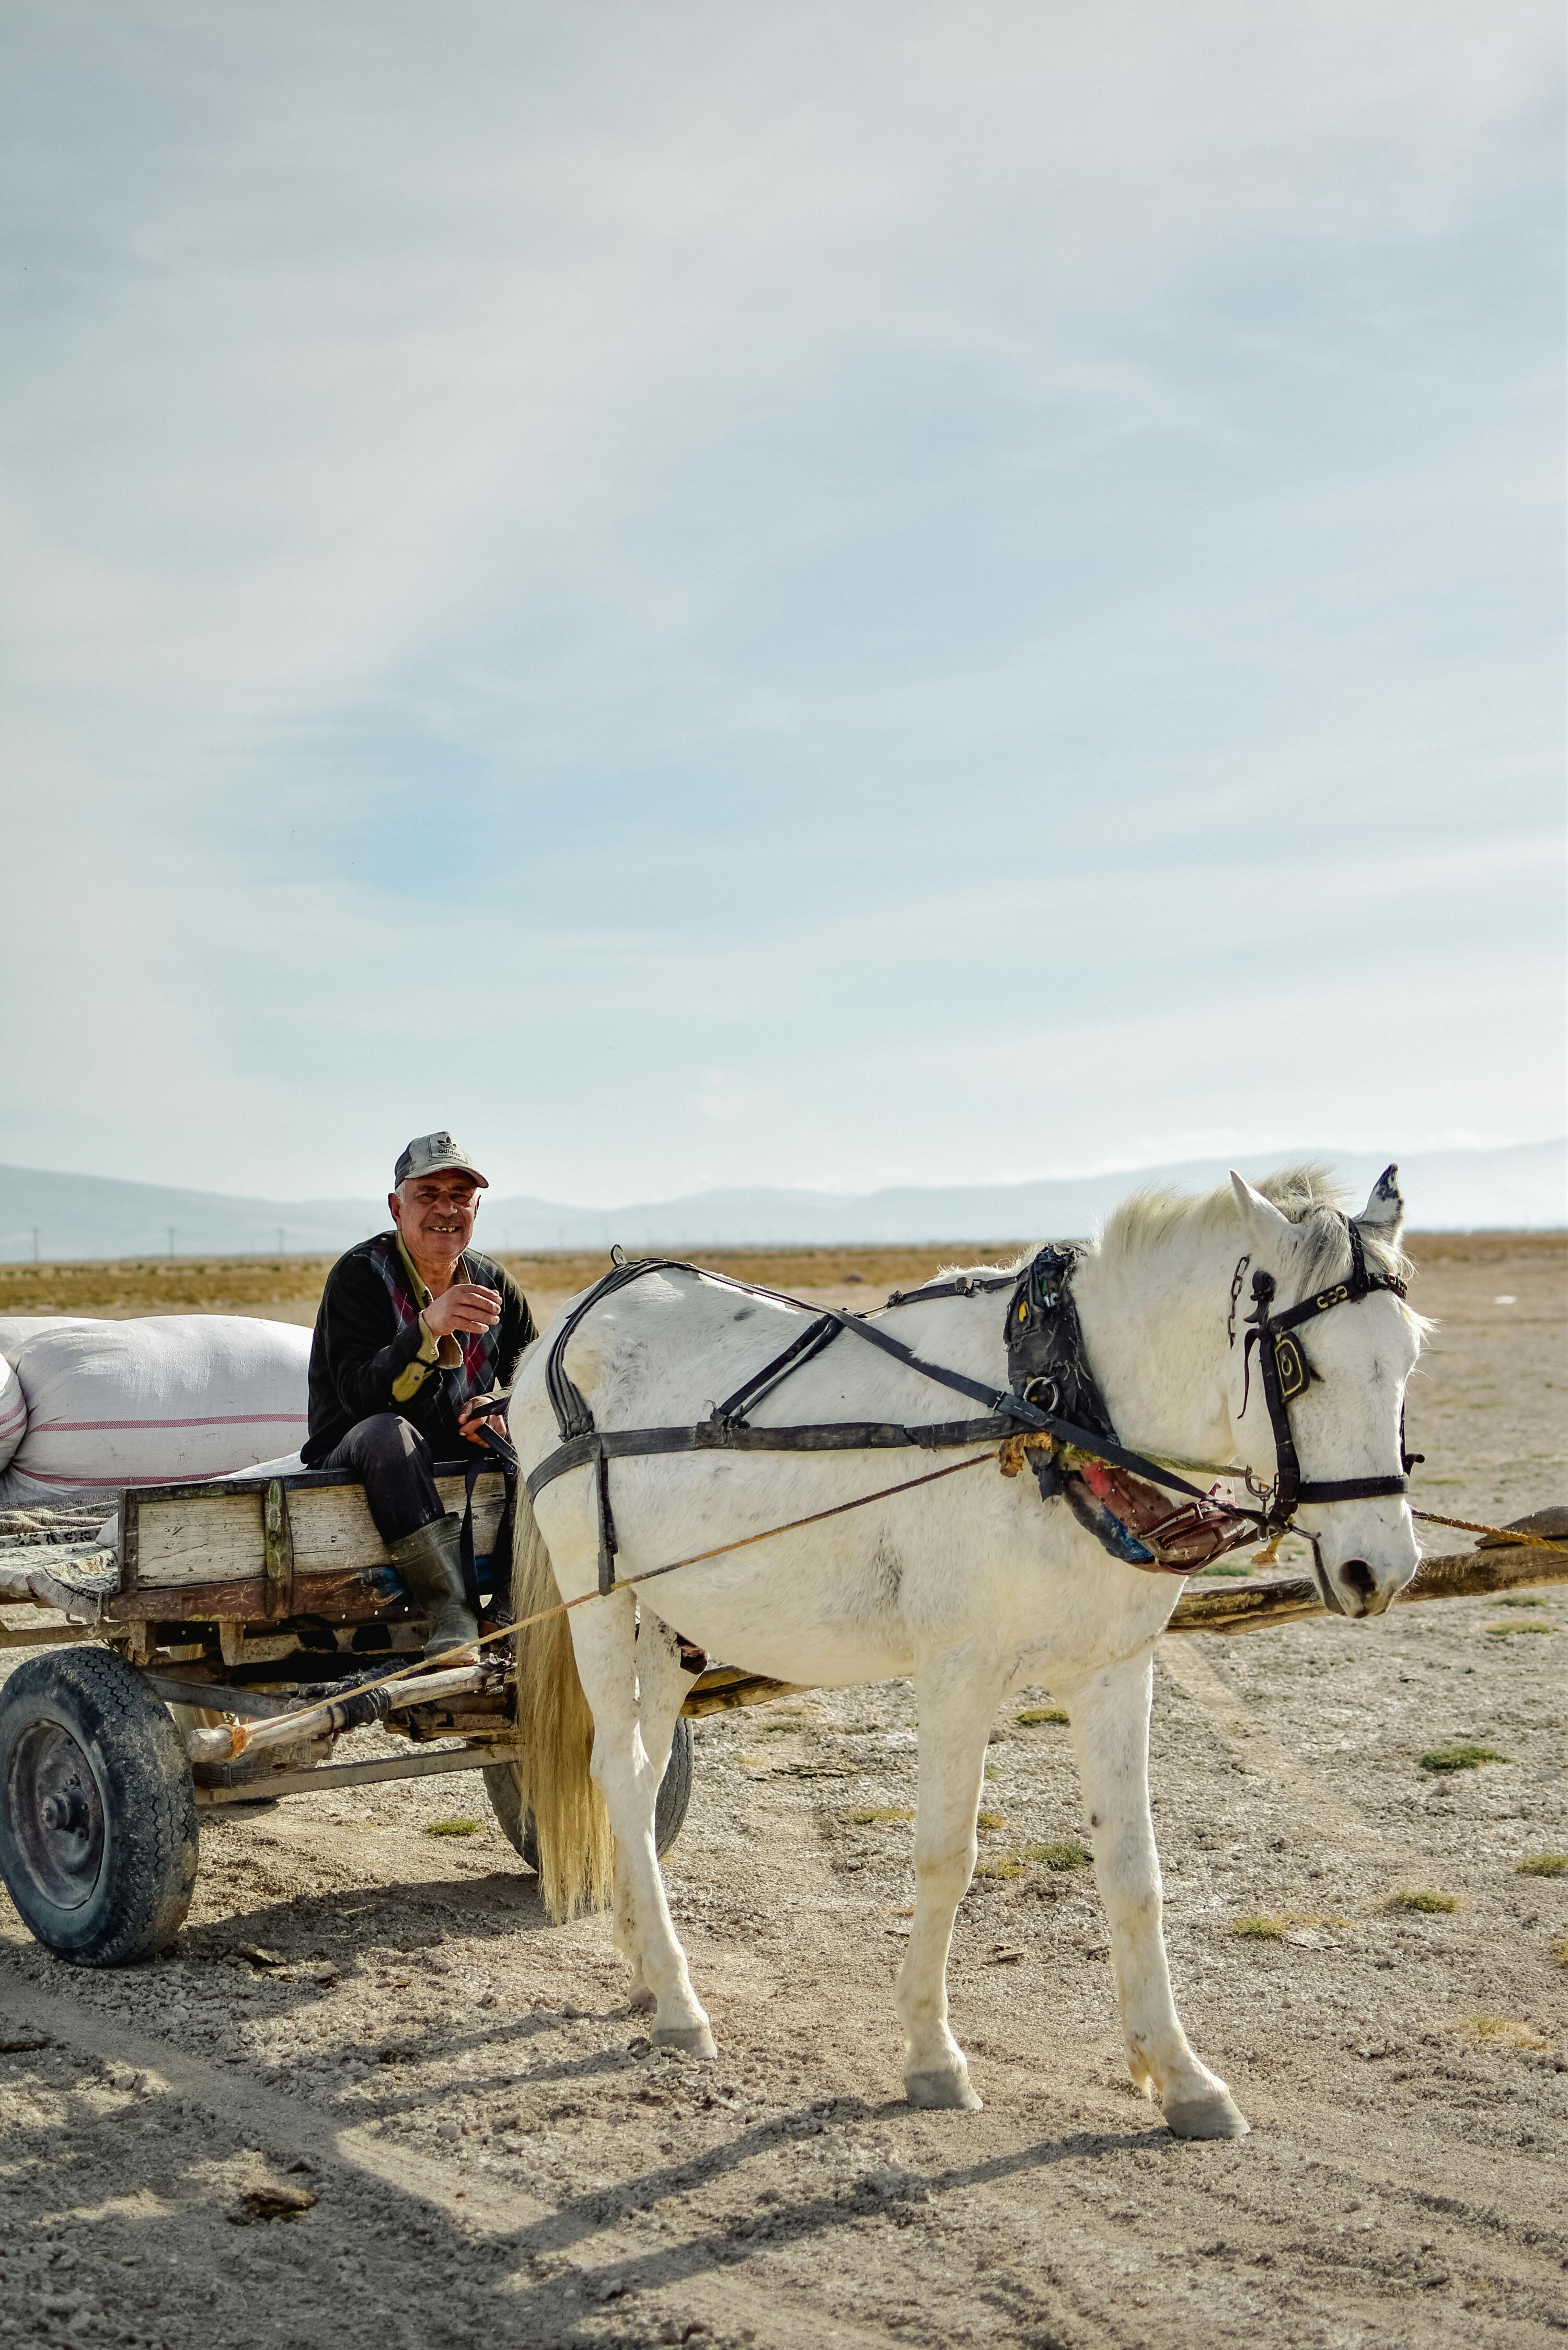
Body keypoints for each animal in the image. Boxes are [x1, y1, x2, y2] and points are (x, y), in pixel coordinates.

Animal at [502, 1165, 1424, 2138]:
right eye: (1295, 1366)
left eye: (1409, 1359)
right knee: (615, 1765)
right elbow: (946, 1858)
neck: (1056, 1408)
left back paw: (648, 1967)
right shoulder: (958, 1673)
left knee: (641, 1781)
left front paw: (1181, 2075)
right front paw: (932, 2056)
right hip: (596, 1592)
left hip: (671, 1613)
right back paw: (681, 2002)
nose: (1381, 1567)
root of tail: (579, 1315)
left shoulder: (1115, 1668)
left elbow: (1133, 1870)